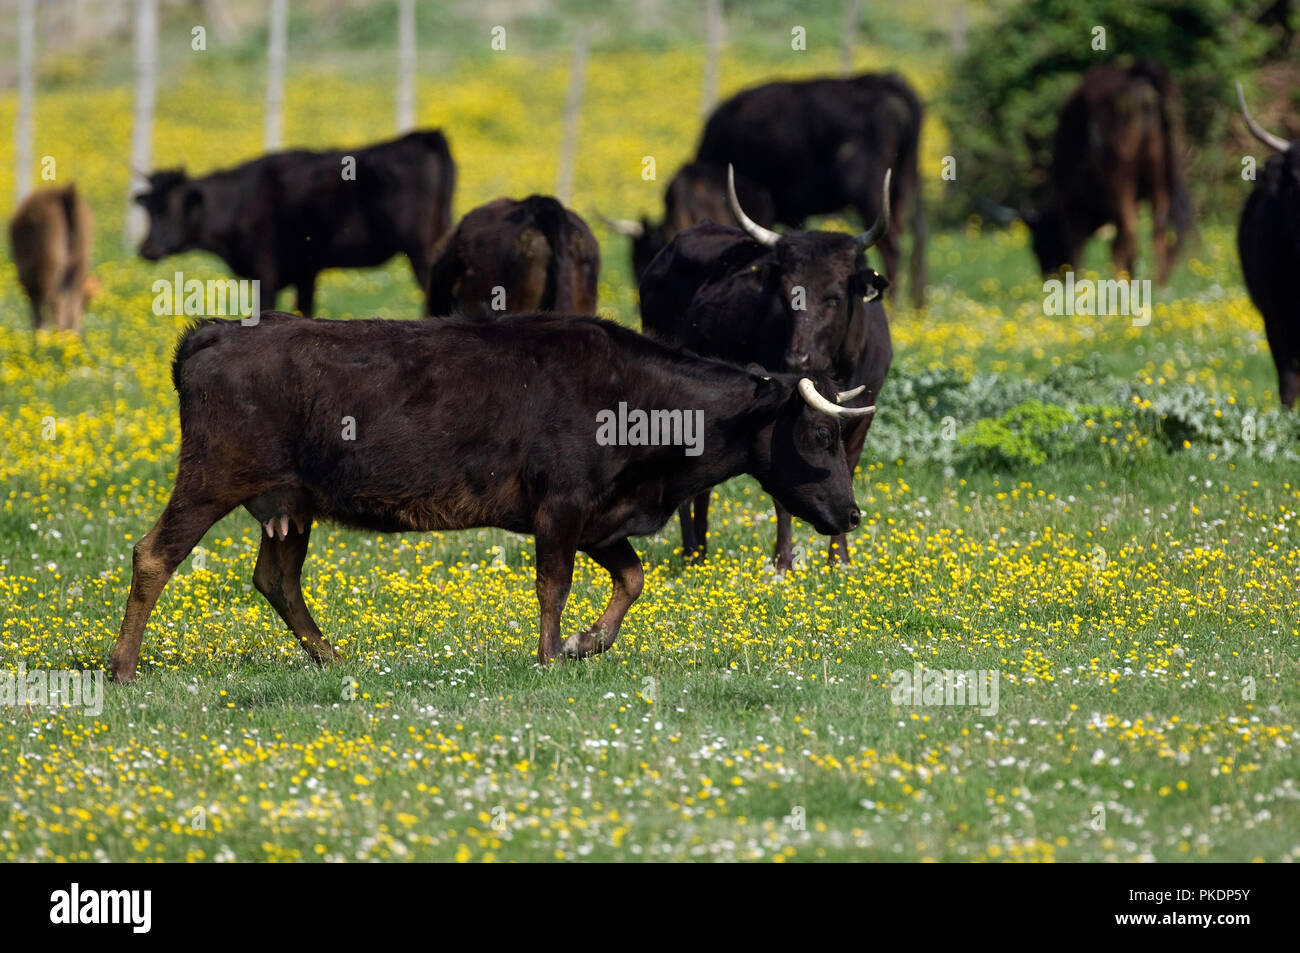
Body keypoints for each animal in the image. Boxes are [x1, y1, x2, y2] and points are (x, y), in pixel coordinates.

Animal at [8, 184, 97, 333]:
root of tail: (65, 194)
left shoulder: (30, 284)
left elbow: (38, 315)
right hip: (79, 266)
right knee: (73, 309)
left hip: (51, 269)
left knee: (55, 304)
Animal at [108, 311, 871, 682]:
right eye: (818, 433)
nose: (854, 513)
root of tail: (214, 333)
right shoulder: (562, 507)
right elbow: (554, 584)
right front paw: (550, 655)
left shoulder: (601, 517)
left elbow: (632, 578)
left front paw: (586, 643)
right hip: (212, 478)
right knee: (153, 555)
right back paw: (122, 669)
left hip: (290, 503)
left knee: (276, 578)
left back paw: (332, 660)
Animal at [134, 129, 455, 316]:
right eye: (149, 208)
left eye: (172, 208)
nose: (147, 249)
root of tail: (421, 137)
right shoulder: (306, 271)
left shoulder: (266, 273)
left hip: (421, 249)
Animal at [639, 166, 892, 573]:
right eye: (786, 294)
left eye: (835, 296)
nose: (796, 361)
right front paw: (783, 562)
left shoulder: (863, 417)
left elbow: (847, 470)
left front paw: (839, 559)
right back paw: (692, 552)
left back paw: (702, 551)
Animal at [1026, 61, 1191, 284]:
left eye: (1038, 245)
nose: (1047, 276)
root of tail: (1136, 74)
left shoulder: (1070, 204)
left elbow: (1077, 246)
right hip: (1160, 180)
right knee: (1158, 227)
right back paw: (1159, 282)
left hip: (1120, 181)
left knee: (1128, 234)